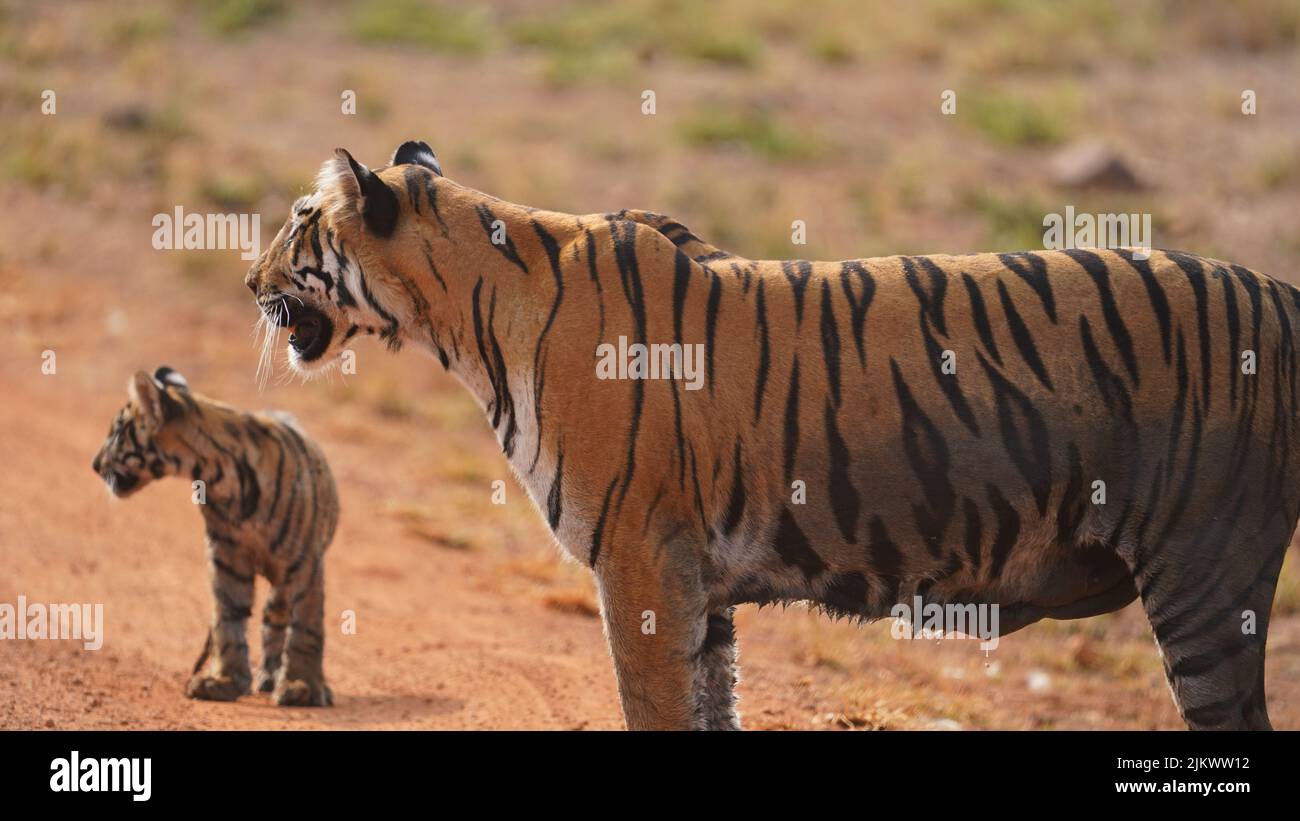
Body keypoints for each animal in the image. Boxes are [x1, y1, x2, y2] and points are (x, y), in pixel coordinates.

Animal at [92, 367, 338, 707]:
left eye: (116, 433)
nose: (94, 465)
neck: (219, 478)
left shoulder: (304, 562)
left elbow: (306, 626)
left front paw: (303, 686)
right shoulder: (227, 558)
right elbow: (227, 619)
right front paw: (225, 680)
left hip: (285, 576)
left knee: (278, 614)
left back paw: (275, 676)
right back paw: (266, 676)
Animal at [244, 139, 1299, 730]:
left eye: (298, 222)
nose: (248, 280)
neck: (469, 313)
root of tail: (1279, 293)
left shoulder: (640, 564)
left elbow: (652, 710)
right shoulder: (699, 586)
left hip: (1206, 581)